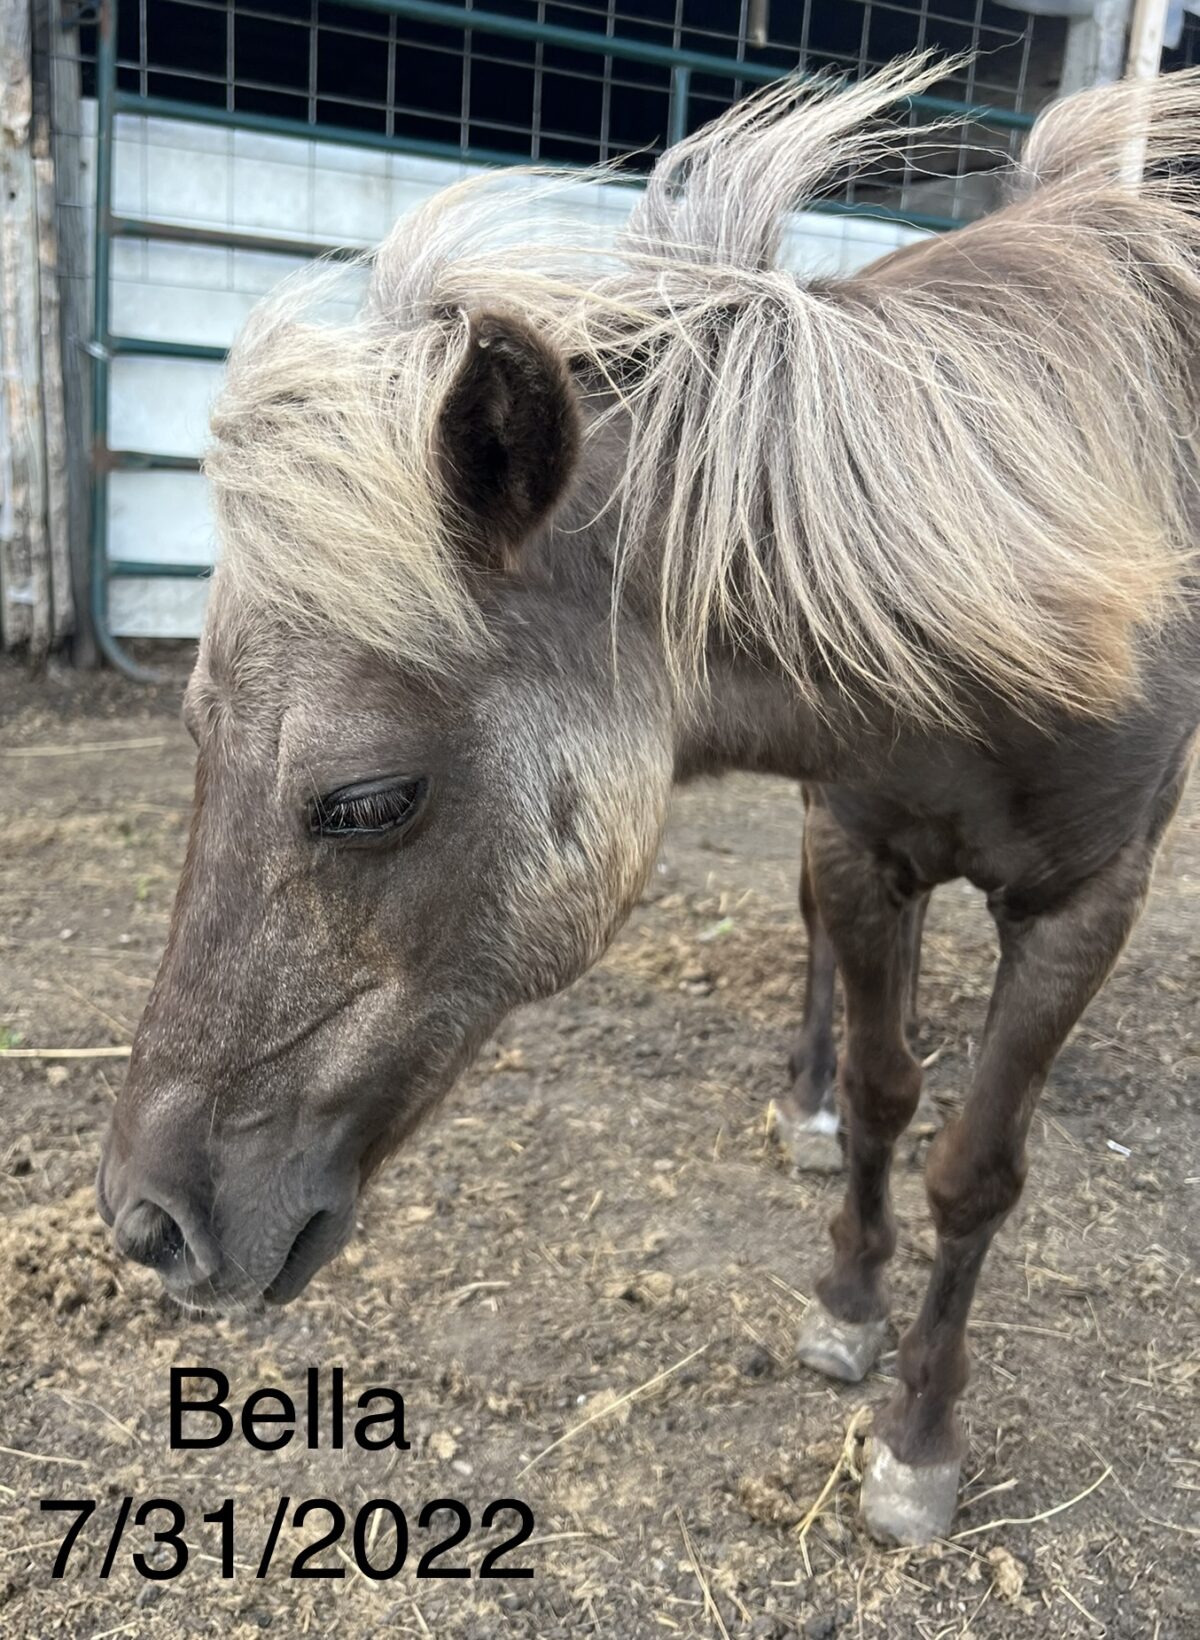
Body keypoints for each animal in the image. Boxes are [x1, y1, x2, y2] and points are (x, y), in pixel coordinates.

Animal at [97, 55, 1200, 1545]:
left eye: (369, 800)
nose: (145, 1223)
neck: (1048, 586)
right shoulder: (858, 842)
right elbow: (881, 1091)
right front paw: (846, 1302)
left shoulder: (1089, 903)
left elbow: (974, 1166)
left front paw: (917, 1440)